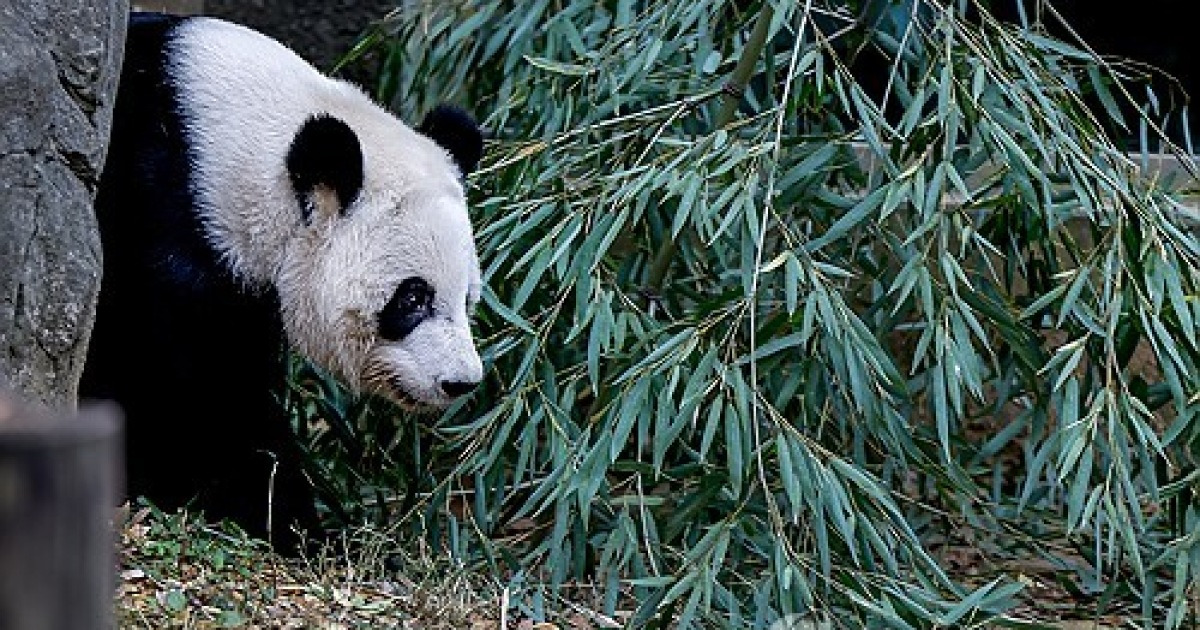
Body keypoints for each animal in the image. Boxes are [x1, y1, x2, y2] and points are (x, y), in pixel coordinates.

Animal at [80, 12, 485, 550]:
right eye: (413, 297)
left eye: (467, 298)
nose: (461, 382)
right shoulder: (158, 222)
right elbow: (191, 394)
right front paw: (294, 525)